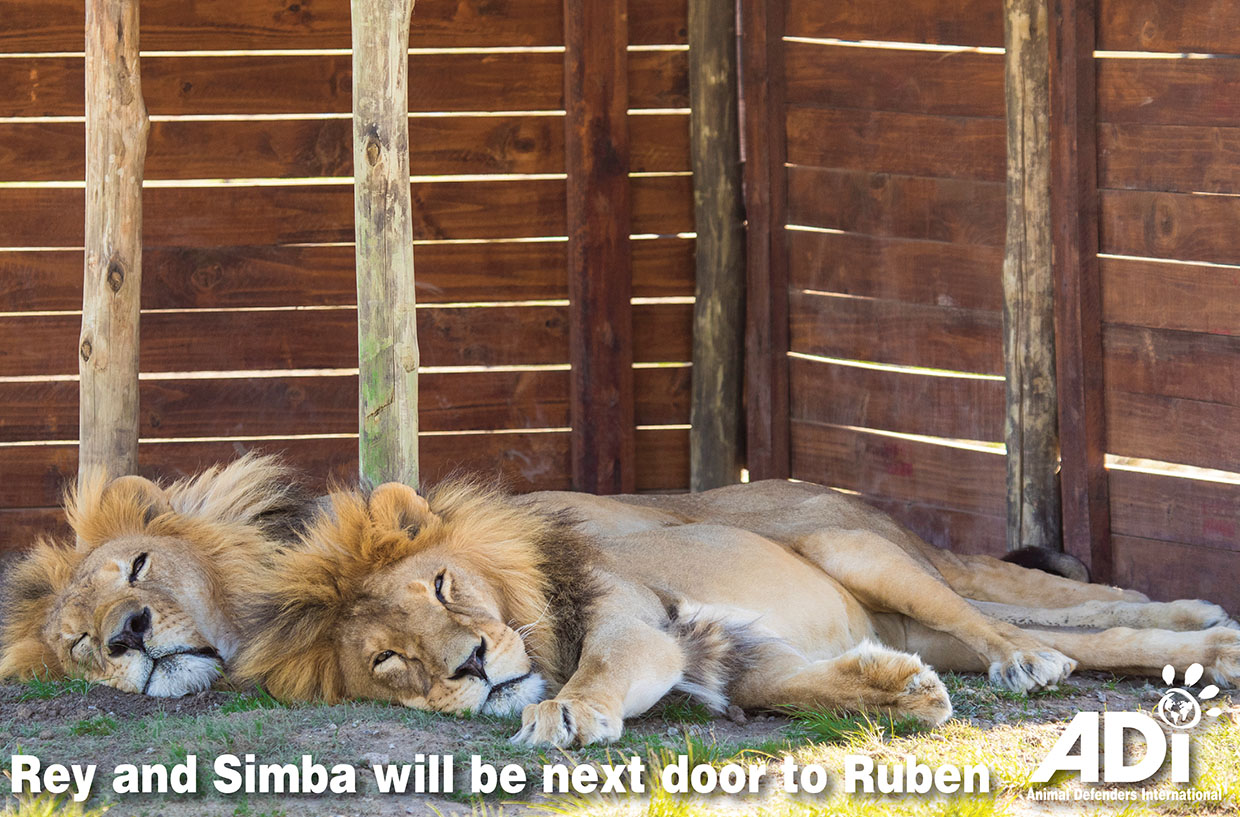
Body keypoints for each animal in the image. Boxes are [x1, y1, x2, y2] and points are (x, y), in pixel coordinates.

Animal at [235, 478, 1240, 747]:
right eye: (388, 660)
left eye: (442, 587)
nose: (472, 664)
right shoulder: (729, 652)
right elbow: (804, 690)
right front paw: (897, 693)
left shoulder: (637, 622)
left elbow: (602, 671)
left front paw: (564, 710)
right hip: (906, 602)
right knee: (1091, 631)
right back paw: (1211, 646)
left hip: (851, 546)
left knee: (1034, 630)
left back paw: (1037, 662)